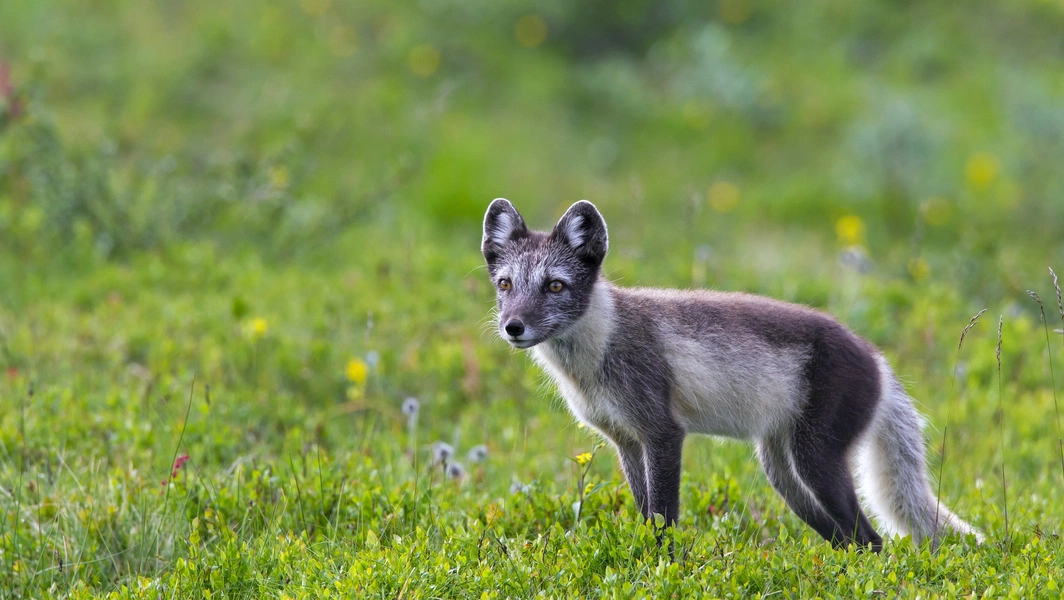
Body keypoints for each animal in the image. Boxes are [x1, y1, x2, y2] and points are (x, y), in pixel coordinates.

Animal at [481, 198, 982, 551]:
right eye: (505, 284)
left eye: (555, 286)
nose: (513, 327)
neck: (596, 353)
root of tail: (877, 358)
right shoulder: (626, 440)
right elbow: (645, 513)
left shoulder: (664, 433)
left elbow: (664, 518)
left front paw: (663, 566)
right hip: (784, 474)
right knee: (849, 540)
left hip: (815, 459)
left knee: (872, 541)